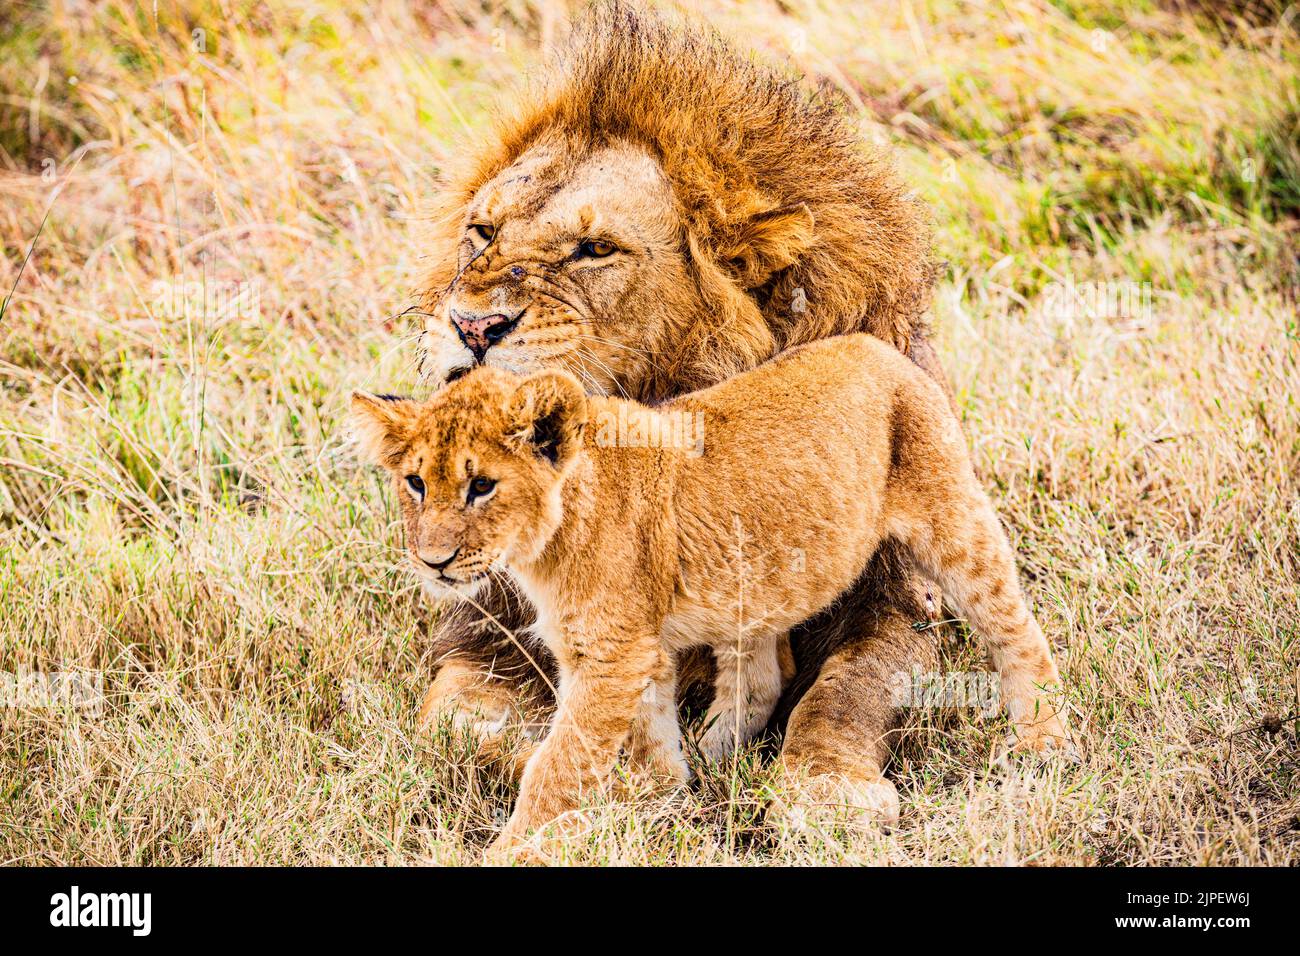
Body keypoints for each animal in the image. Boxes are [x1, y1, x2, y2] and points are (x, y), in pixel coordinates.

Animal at [352, 335, 1067, 852]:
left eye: (482, 486)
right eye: (416, 483)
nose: (434, 562)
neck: (548, 538)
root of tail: (878, 345)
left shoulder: (609, 658)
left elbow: (557, 767)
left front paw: (515, 849)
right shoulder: (640, 648)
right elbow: (648, 736)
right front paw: (658, 799)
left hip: (953, 521)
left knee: (1018, 628)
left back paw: (1044, 741)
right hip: (756, 582)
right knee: (765, 677)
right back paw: (716, 758)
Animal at [411, 0, 957, 826]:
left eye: (595, 249)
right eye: (482, 232)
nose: (472, 327)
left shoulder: (902, 595)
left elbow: (853, 685)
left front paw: (827, 786)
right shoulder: (493, 624)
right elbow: (461, 725)